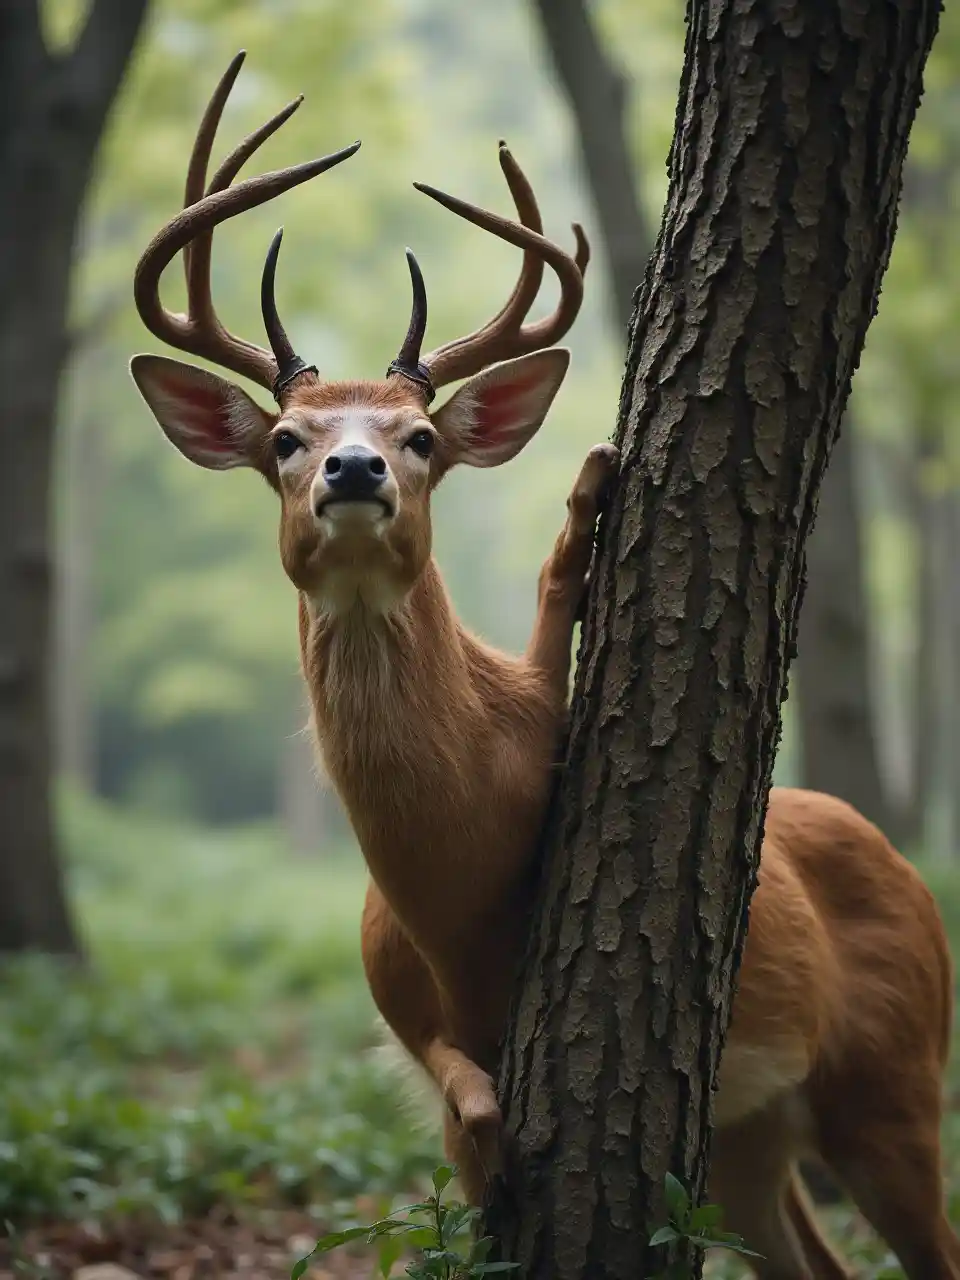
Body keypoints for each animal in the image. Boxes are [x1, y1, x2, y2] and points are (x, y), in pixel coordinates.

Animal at [129, 52, 960, 1280]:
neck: (453, 889)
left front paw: (592, 485)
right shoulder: (410, 1025)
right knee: (818, 1258)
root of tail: (909, 870)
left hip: (896, 1077)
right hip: (755, 1134)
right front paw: (505, 1157)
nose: (355, 468)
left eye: (423, 436)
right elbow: (469, 1110)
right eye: (284, 438)